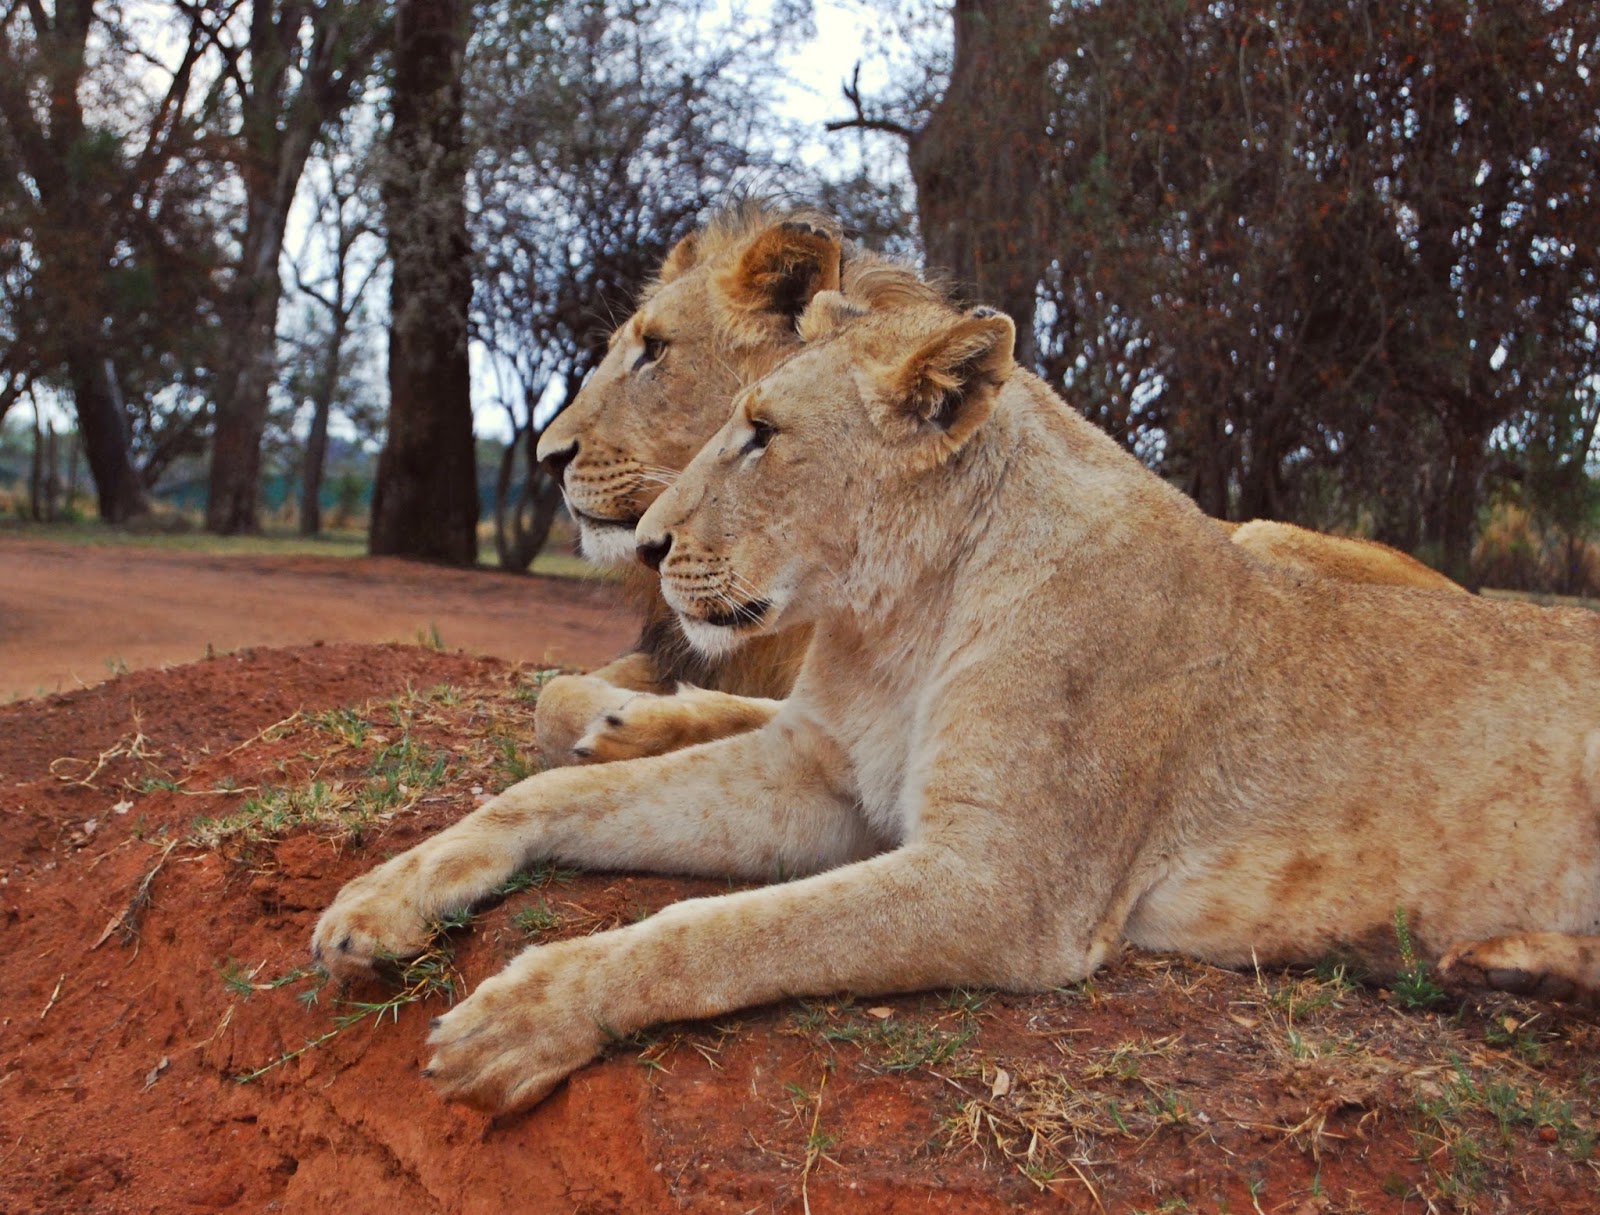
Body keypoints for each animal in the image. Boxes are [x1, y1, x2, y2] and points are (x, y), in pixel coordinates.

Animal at [312, 276, 1600, 1113]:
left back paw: (1504, 965)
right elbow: (536, 803)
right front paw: (382, 898)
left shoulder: (1008, 885)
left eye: (762, 434)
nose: (652, 545)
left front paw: (527, 1015)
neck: (897, 620)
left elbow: (727, 932)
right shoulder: (817, 778)